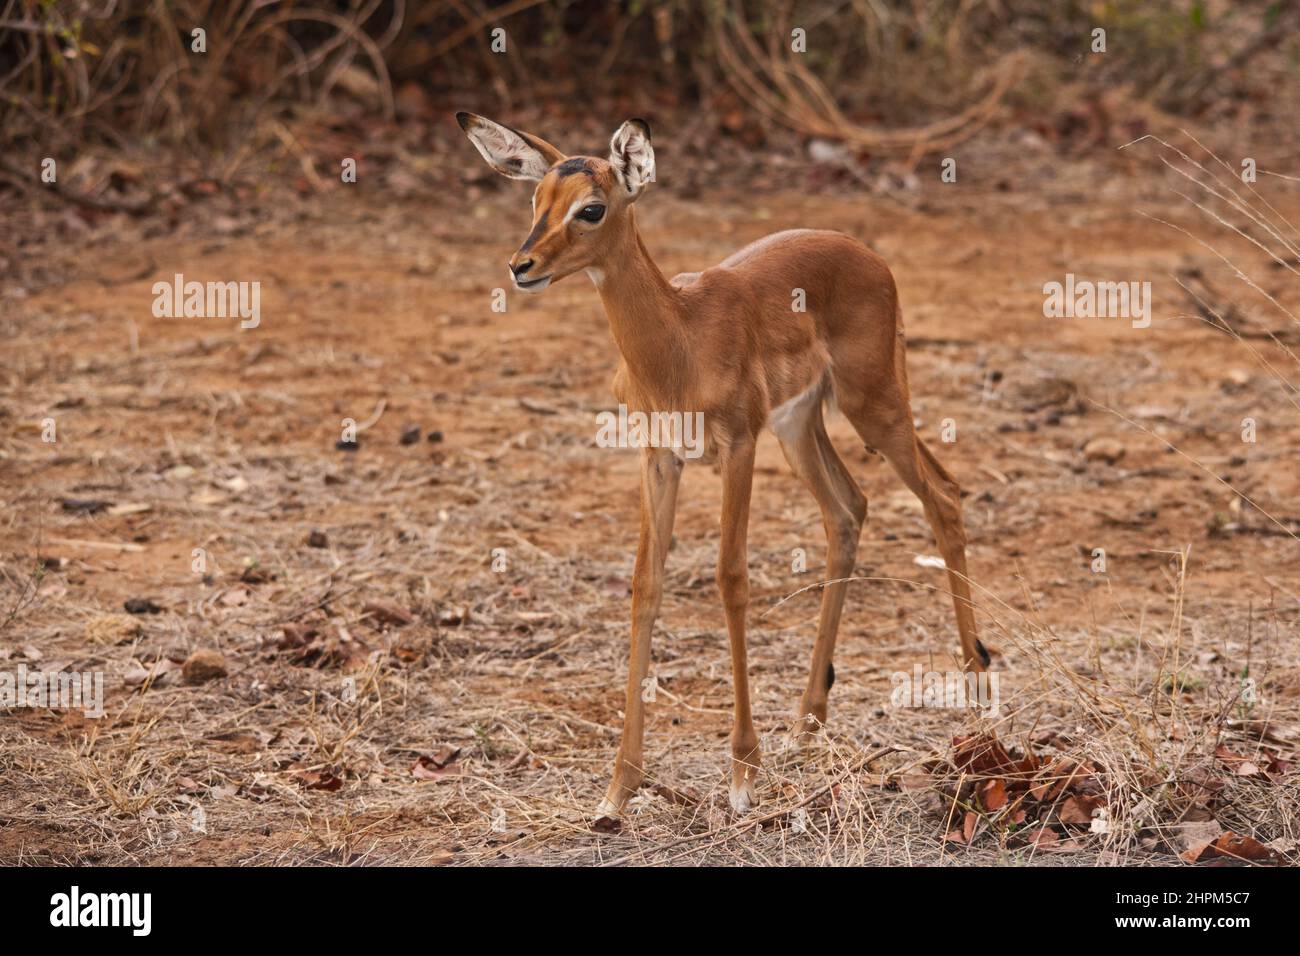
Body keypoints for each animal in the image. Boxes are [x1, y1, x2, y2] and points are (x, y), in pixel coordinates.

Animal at [456, 112, 989, 817]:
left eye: (592, 207)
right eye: (536, 199)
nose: (522, 266)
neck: (680, 340)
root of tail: (868, 253)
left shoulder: (738, 448)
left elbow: (731, 578)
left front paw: (742, 771)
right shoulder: (659, 457)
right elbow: (645, 585)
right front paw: (618, 789)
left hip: (872, 404)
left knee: (944, 495)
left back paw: (978, 696)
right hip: (801, 425)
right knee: (849, 510)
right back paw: (806, 723)